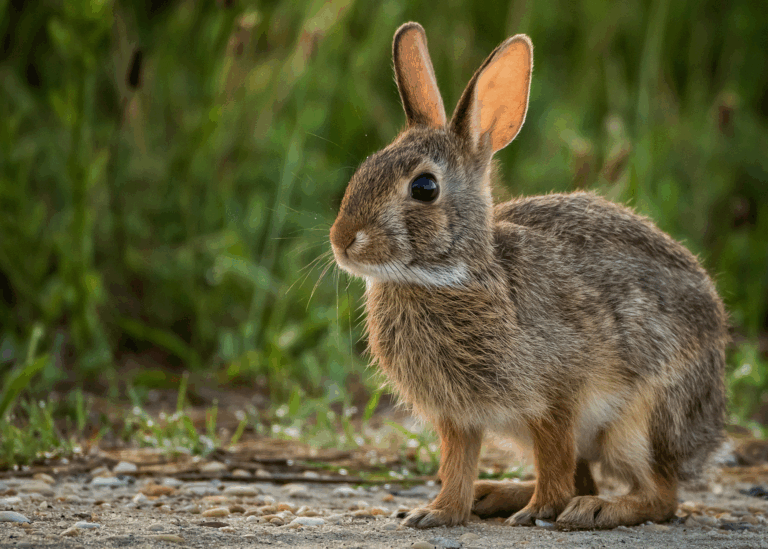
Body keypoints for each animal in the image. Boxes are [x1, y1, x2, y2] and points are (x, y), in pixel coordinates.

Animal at [329, 22, 727, 530]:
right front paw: (437, 512)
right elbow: (457, 465)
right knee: (589, 477)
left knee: (659, 495)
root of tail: (709, 430)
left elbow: (553, 456)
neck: (450, 275)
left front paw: (538, 510)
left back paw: (591, 510)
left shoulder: (557, 399)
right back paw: (496, 494)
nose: (342, 240)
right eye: (365, 168)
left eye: (424, 187)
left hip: (639, 423)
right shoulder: (458, 419)